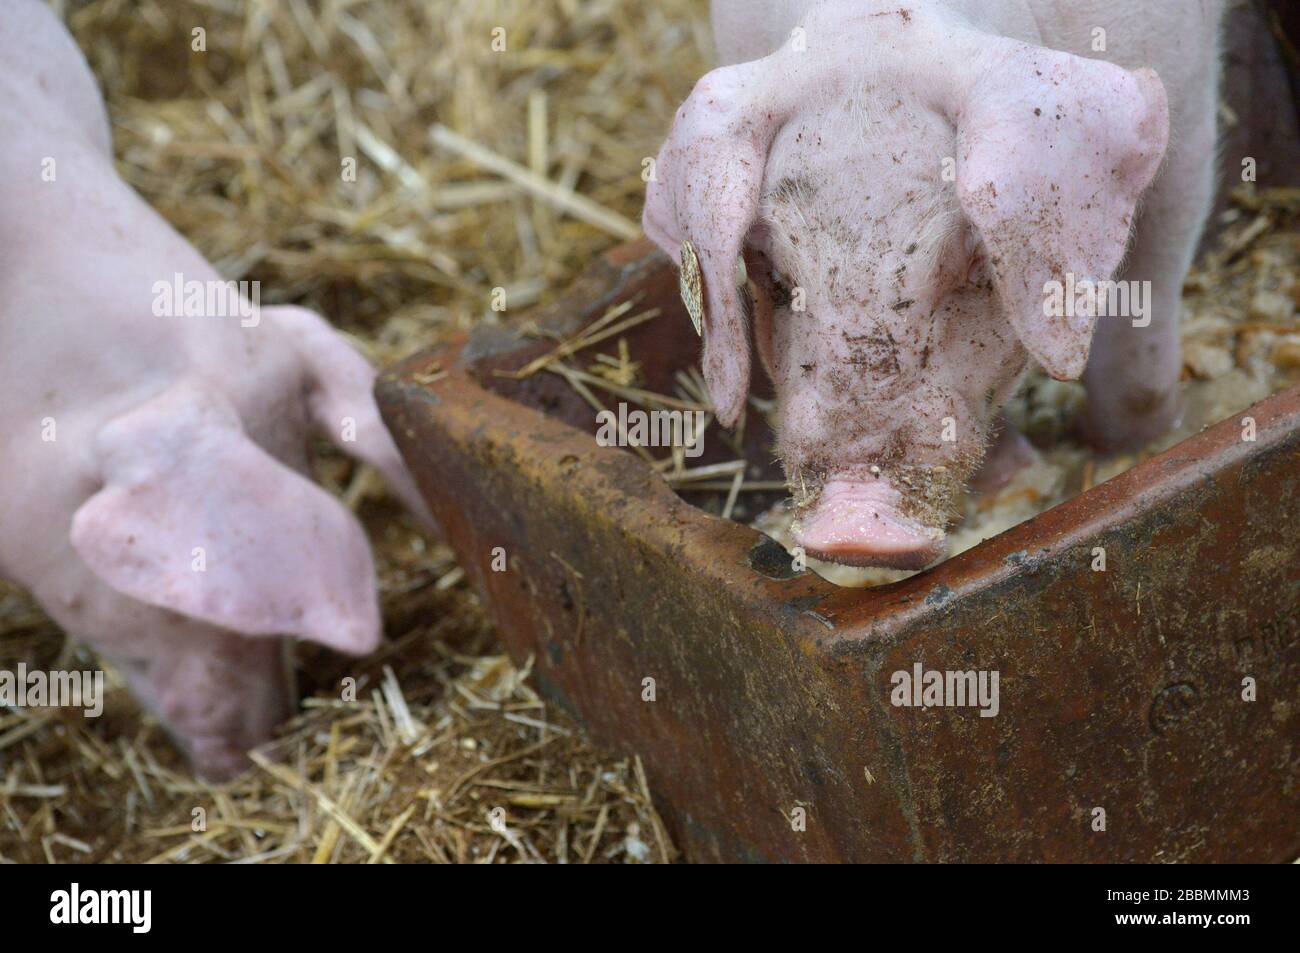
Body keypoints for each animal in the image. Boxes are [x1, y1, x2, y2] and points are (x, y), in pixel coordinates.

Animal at [644, 0, 1224, 568]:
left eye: (972, 258)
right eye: (776, 274)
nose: (854, 527)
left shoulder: (1187, 113)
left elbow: (1141, 314)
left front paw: (1132, 452)